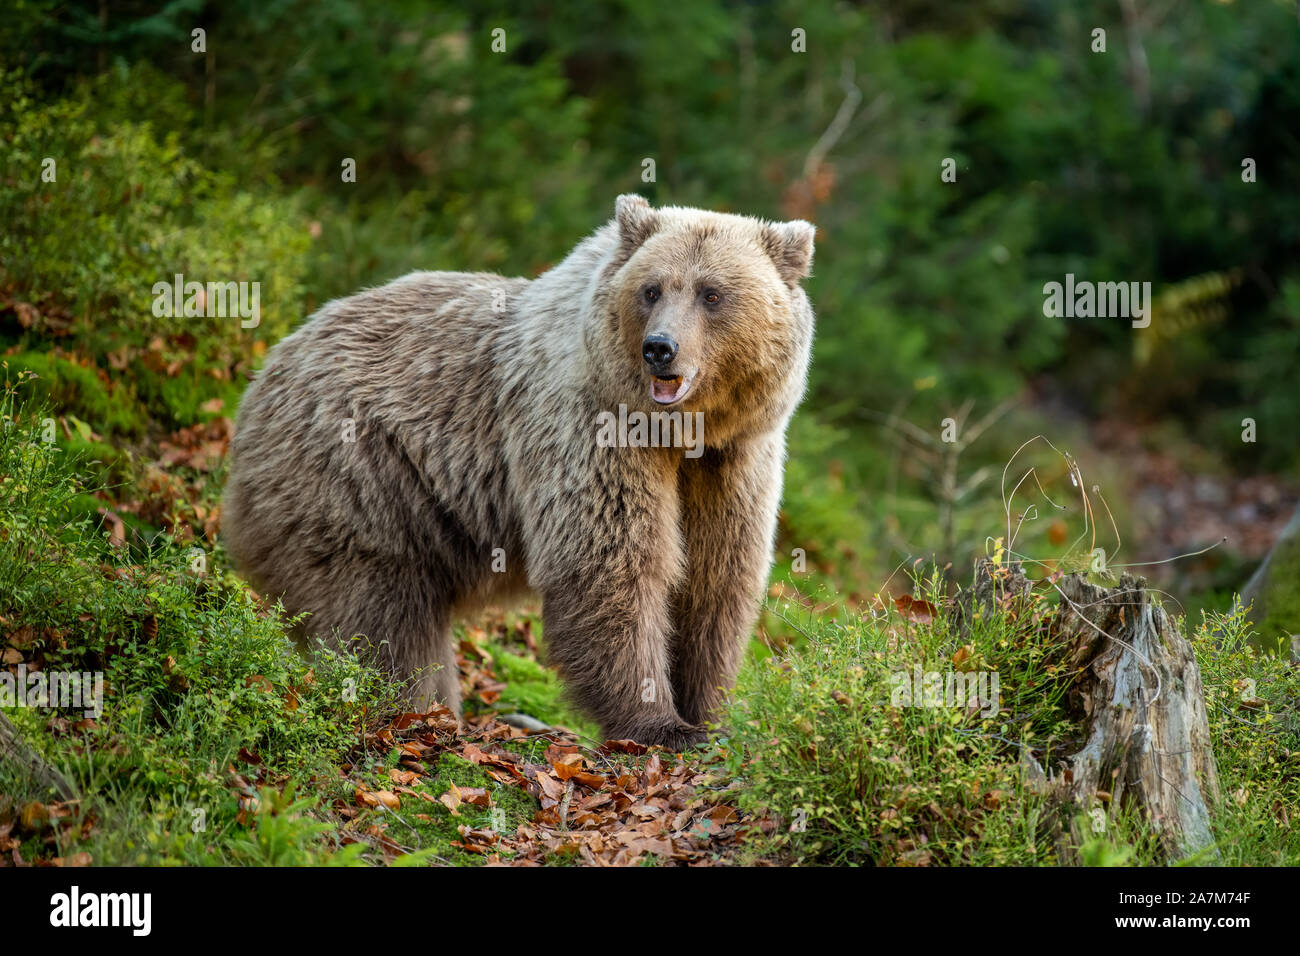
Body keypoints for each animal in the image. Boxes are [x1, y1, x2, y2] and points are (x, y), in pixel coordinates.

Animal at [220, 194, 815, 749]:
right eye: (652, 289)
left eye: (712, 293)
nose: (659, 348)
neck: (679, 431)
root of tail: (263, 375)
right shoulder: (589, 426)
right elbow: (612, 562)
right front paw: (659, 723)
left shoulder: (734, 457)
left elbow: (717, 577)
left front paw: (709, 715)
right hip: (358, 475)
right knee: (380, 614)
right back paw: (409, 711)